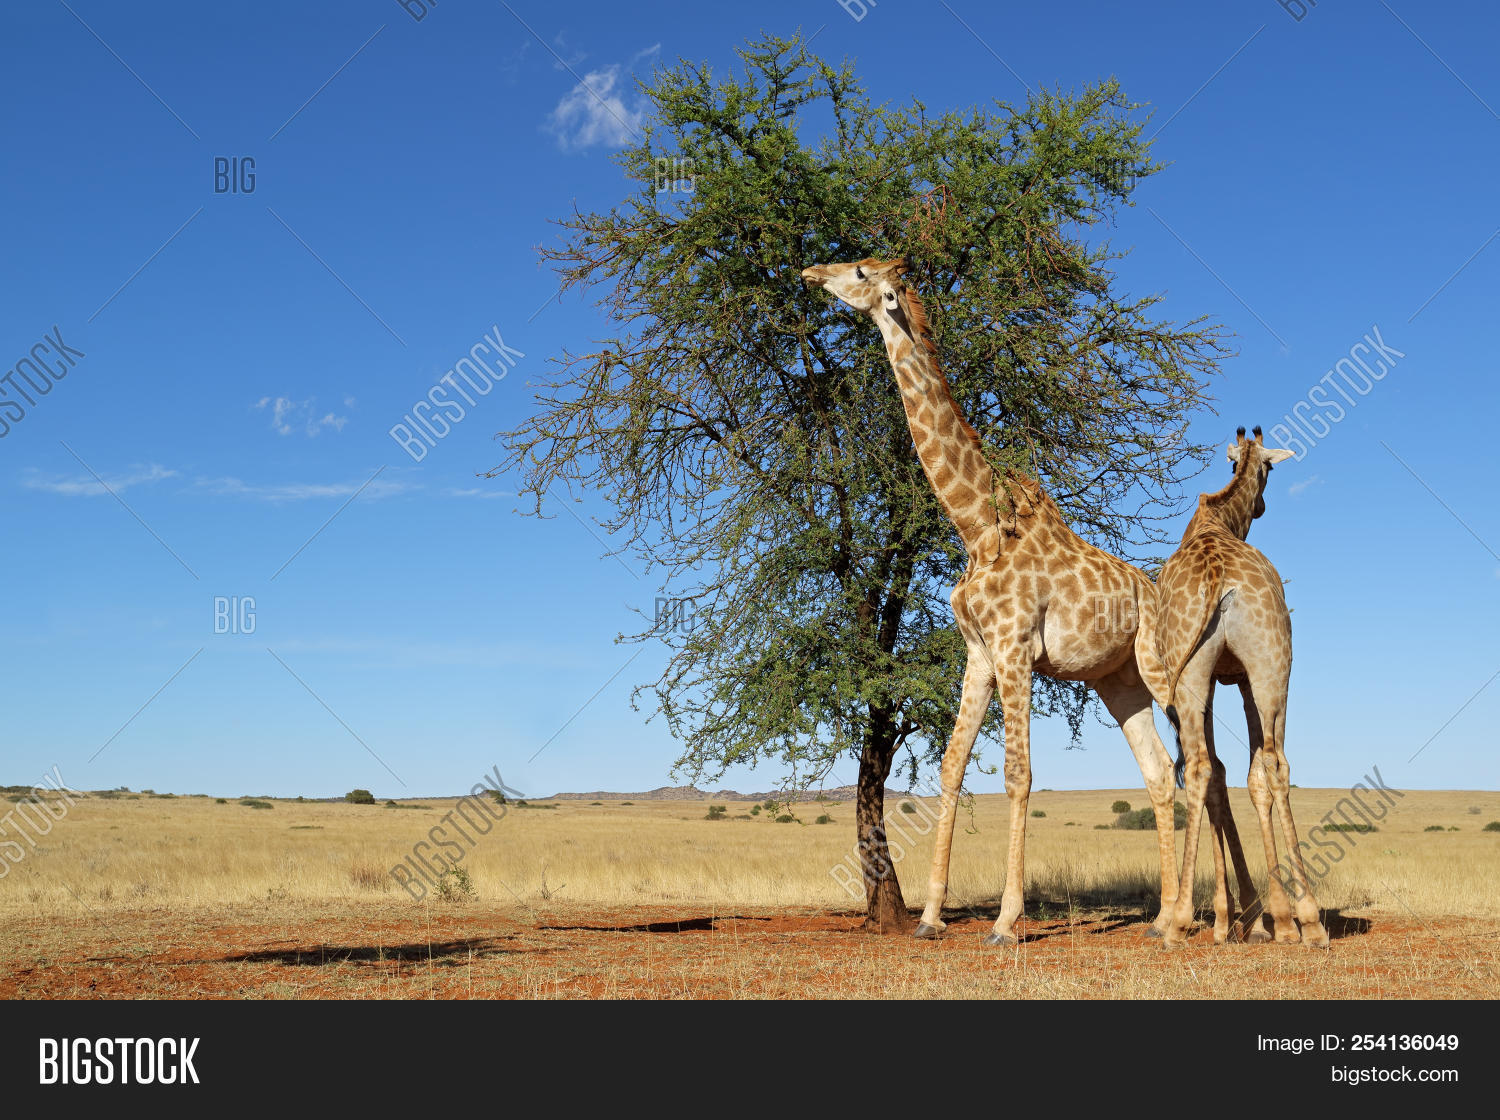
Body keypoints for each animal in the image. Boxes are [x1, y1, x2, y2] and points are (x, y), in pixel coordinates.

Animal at [800, 256, 1250, 944]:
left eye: (859, 271)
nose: (811, 271)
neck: (975, 526)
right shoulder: (979, 653)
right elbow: (951, 766)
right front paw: (929, 918)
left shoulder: (1015, 650)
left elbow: (1019, 773)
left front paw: (1006, 923)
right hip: (1119, 682)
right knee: (1160, 772)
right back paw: (1166, 916)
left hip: (1165, 669)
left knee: (1205, 765)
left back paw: (1213, 921)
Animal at [1156, 426, 1330, 949]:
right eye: (1270, 468)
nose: (1263, 506)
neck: (1216, 521)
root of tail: (1218, 576)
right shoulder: (1230, 679)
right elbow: (1232, 773)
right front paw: (1240, 918)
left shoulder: (1218, 678)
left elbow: (1220, 773)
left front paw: (1236, 918)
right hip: (1270, 667)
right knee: (1271, 763)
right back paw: (1305, 920)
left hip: (1216, 672)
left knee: (1212, 767)